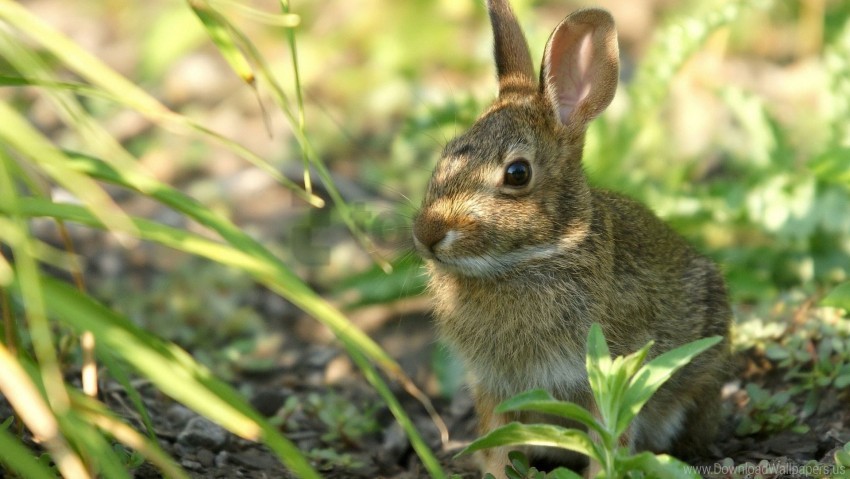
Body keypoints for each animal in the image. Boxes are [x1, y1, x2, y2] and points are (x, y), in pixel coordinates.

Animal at [412, 0, 732, 475]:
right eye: (447, 154)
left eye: (517, 173)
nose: (426, 233)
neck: (534, 257)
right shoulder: (494, 386)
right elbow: (497, 442)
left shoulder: (607, 372)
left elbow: (609, 440)